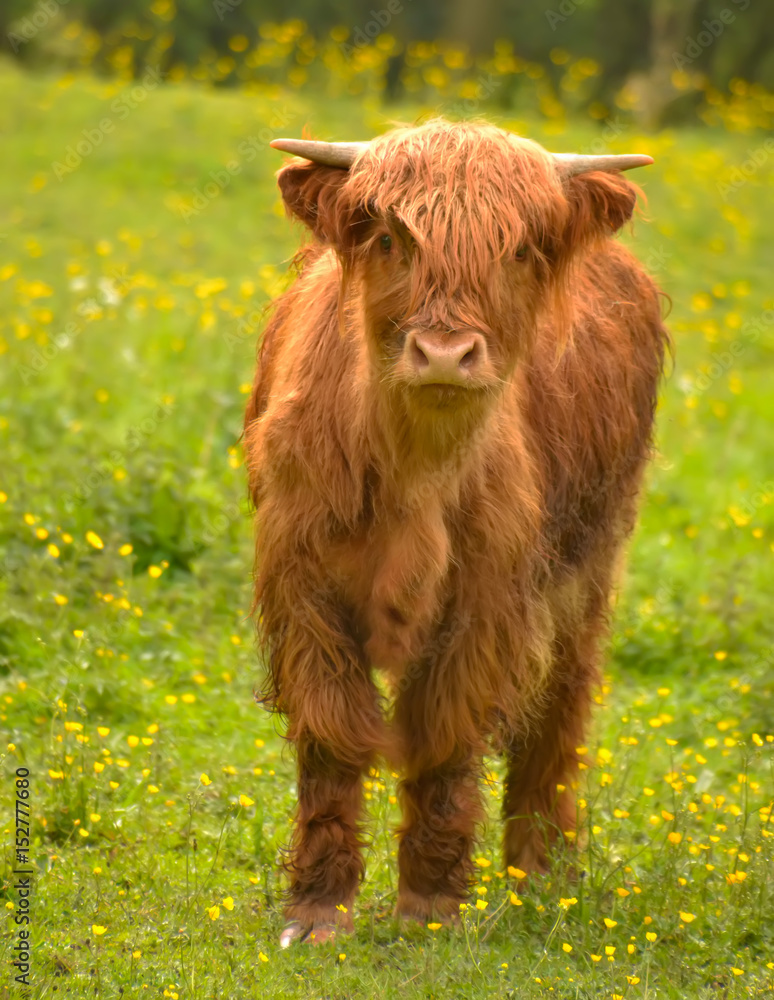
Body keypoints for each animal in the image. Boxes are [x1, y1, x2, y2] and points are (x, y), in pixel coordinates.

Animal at [243, 119, 669, 947]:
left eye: (520, 250)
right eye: (388, 238)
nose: (444, 354)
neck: (416, 468)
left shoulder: (486, 600)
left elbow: (444, 737)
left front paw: (429, 902)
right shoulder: (302, 584)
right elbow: (331, 735)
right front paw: (318, 908)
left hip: (588, 567)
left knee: (558, 708)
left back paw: (543, 874)